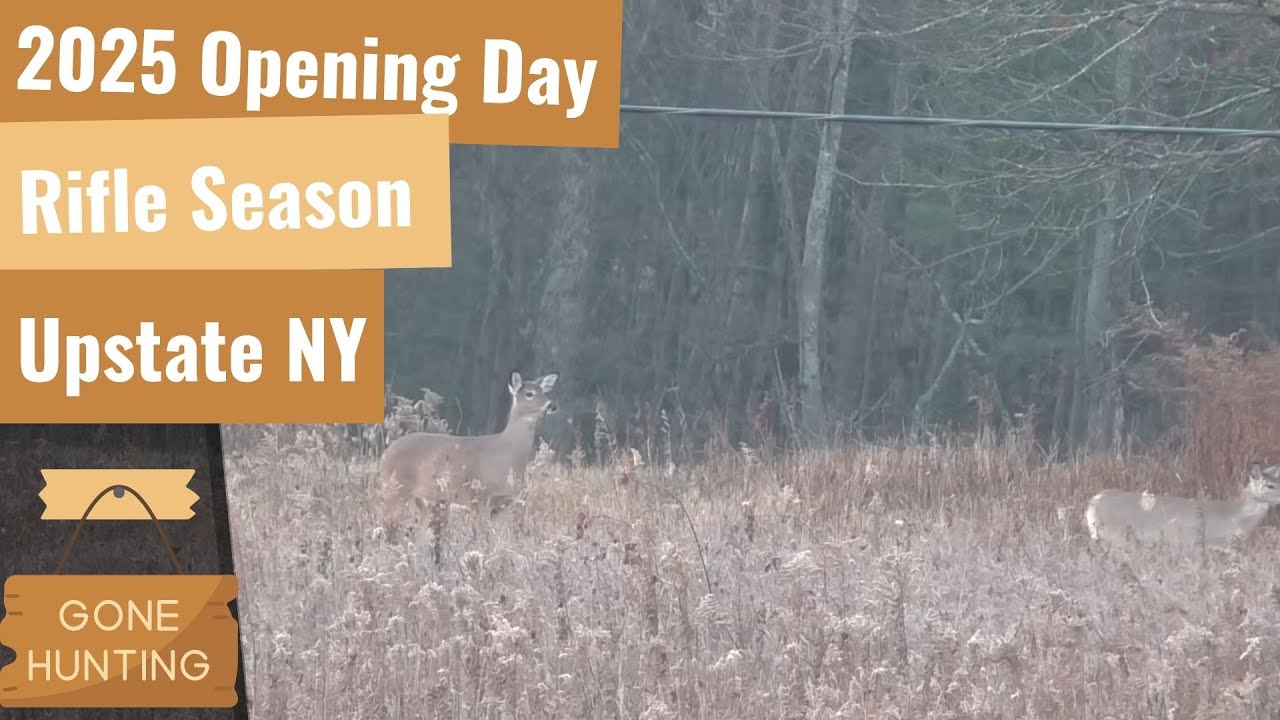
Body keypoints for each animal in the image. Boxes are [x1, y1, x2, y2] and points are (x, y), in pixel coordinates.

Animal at [375, 371, 558, 532]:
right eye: (529, 393)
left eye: (544, 392)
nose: (552, 405)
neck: (508, 454)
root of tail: (385, 455)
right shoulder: (480, 496)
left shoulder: (503, 504)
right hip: (395, 488)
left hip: (420, 500)